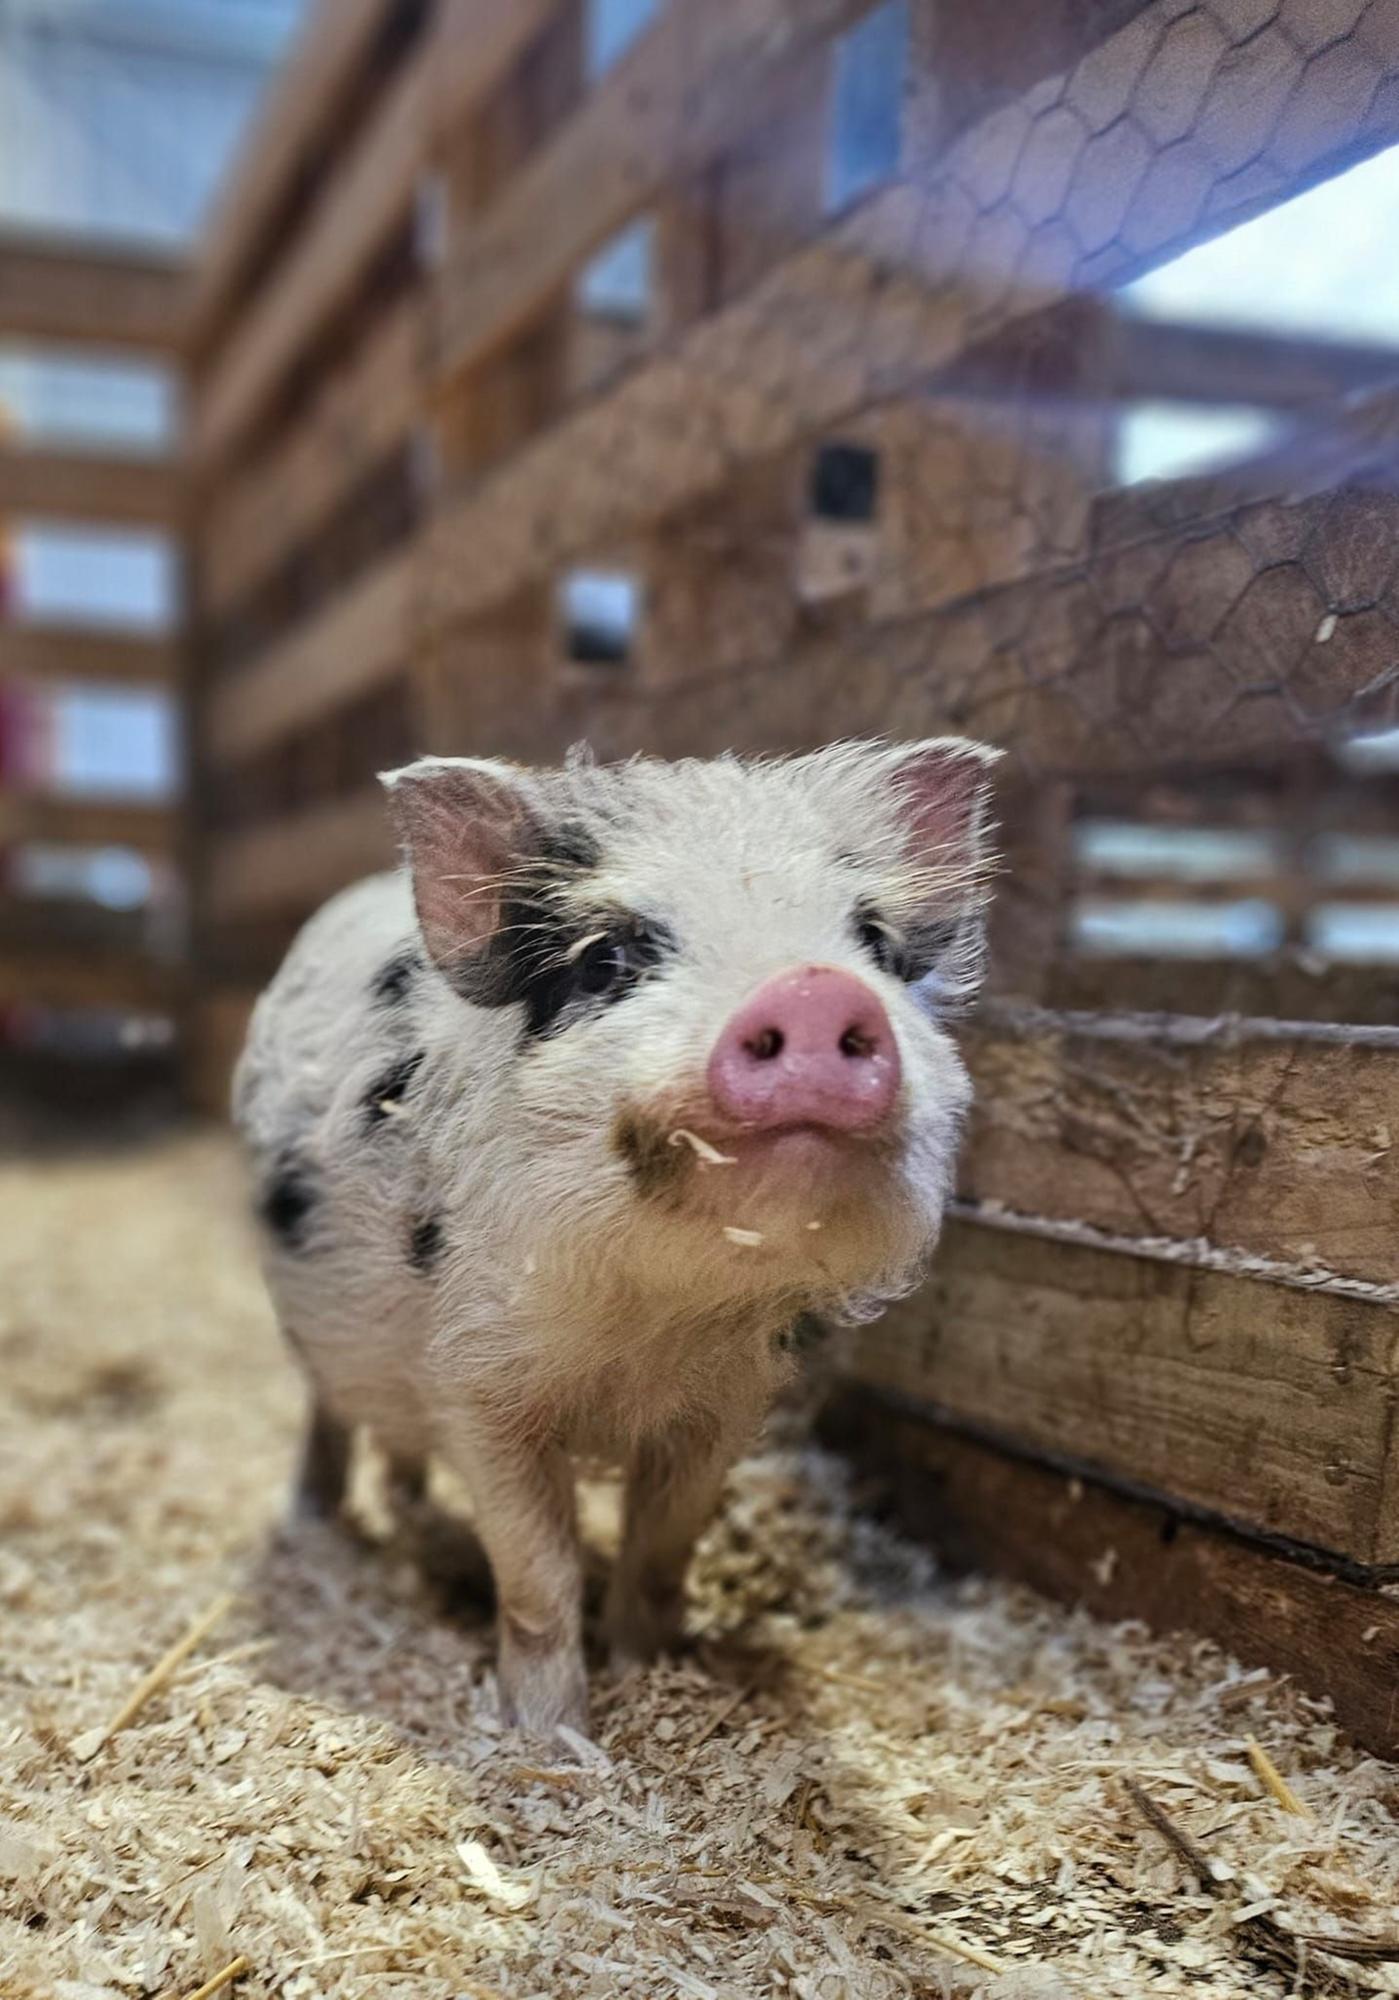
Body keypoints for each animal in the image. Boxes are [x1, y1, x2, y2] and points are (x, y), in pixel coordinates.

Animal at [232, 738, 998, 1736]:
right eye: (605, 960)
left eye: (868, 940)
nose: (811, 989)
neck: (654, 1321)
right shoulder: (476, 1386)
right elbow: (539, 1575)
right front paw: (553, 1736)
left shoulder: (727, 1403)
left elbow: (662, 1553)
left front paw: (655, 1677)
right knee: (328, 1417)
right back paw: (318, 1528)